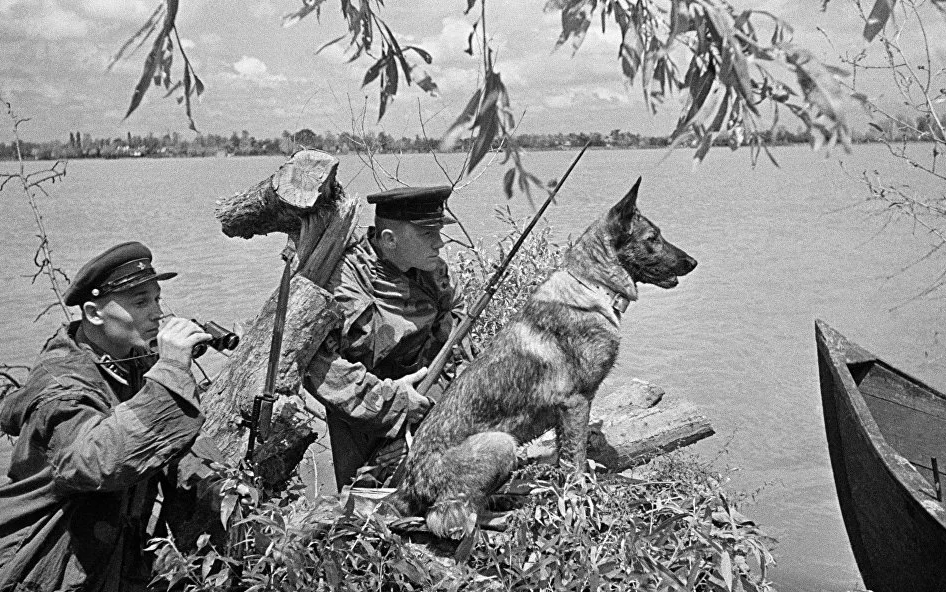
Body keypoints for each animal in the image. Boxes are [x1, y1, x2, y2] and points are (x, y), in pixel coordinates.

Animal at [390, 178, 692, 540]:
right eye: (652, 238)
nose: (693, 262)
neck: (592, 286)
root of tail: (409, 483)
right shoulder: (576, 403)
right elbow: (575, 462)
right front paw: (580, 499)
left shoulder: (567, 412)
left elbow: (566, 456)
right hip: (501, 444)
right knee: (451, 519)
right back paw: (501, 516)